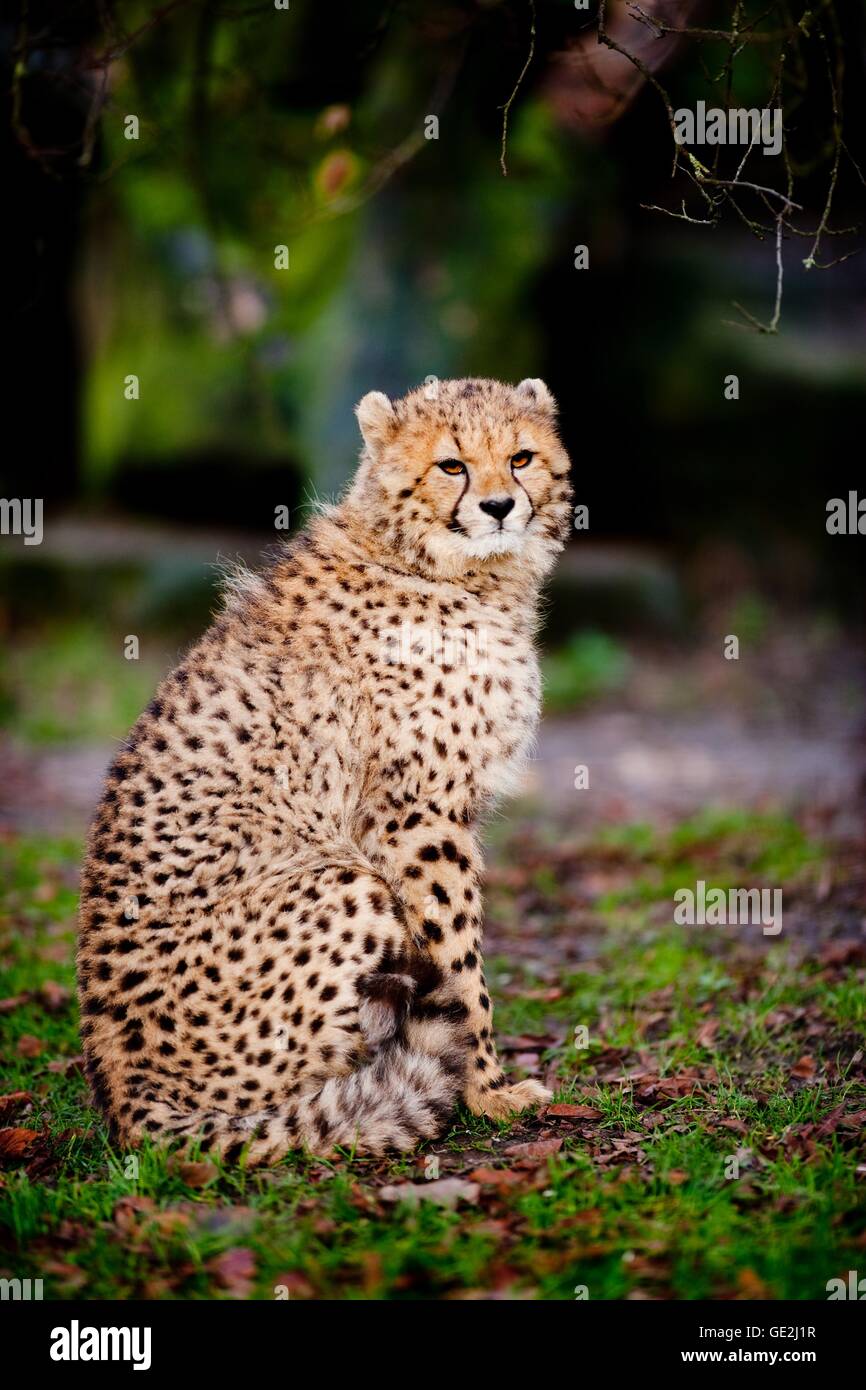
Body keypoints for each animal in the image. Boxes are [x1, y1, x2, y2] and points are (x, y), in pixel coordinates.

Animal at [76, 376, 574, 1163]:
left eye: (521, 457)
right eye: (452, 465)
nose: (500, 506)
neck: (435, 562)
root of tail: (124, 1101)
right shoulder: (417, 820)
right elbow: (462, 966)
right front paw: (488, 1092)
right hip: (345, 883)